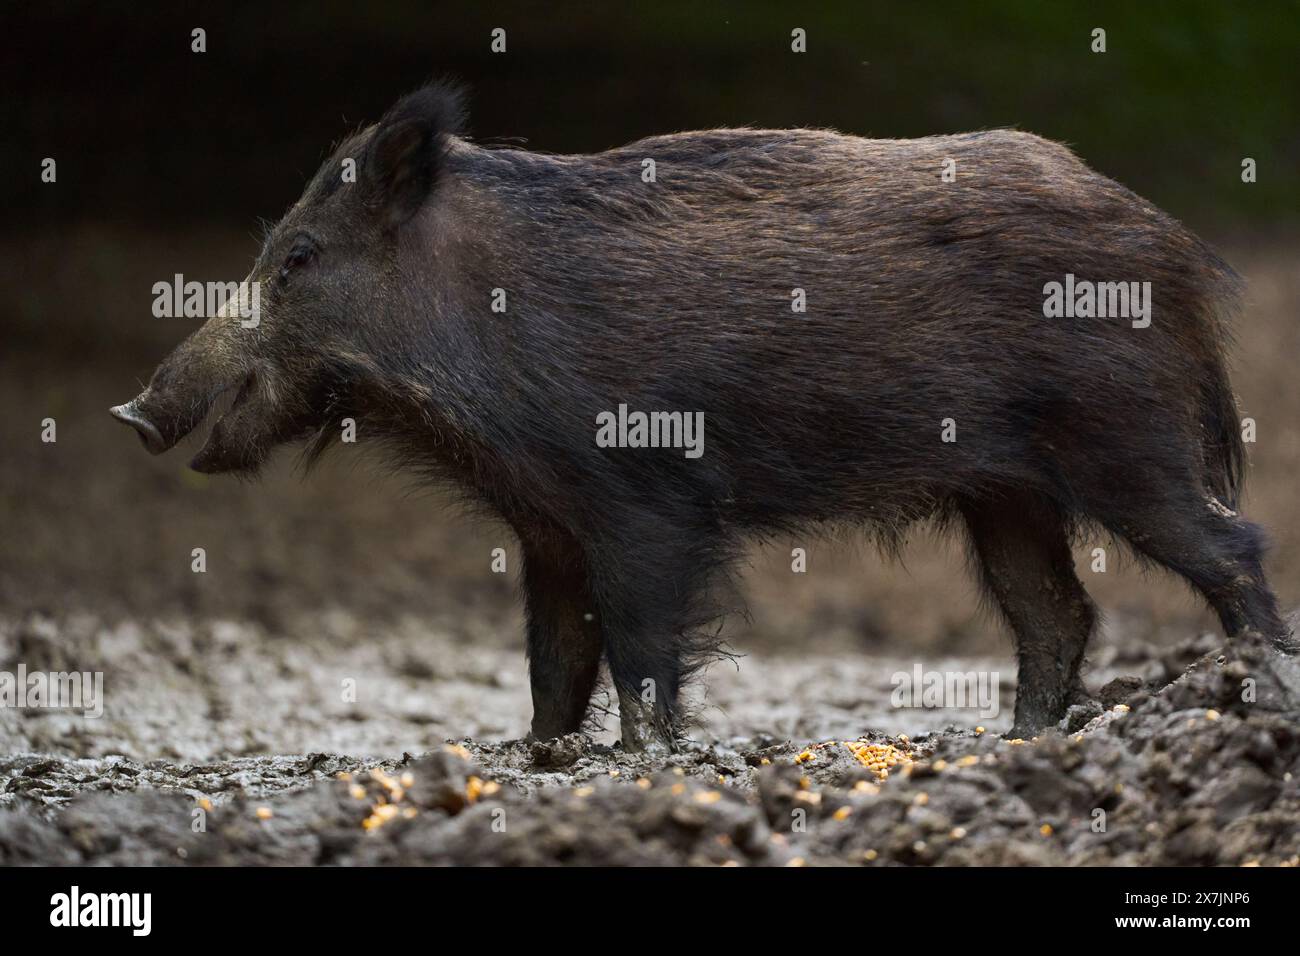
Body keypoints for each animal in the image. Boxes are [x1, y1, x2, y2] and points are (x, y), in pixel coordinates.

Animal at [111, 83, 1293, 748]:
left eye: (299, 259)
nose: (133, 411)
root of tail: (1174, 249)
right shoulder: (547, 525)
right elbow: (552, 656)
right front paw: (536, 755)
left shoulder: (647, 502)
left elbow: (639, 645)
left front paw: (644, 760)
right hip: (1003, 489)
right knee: (1056, 611)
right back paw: (1017, 742)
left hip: (1125, 437)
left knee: (1229, 545)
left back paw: (1264, 691)